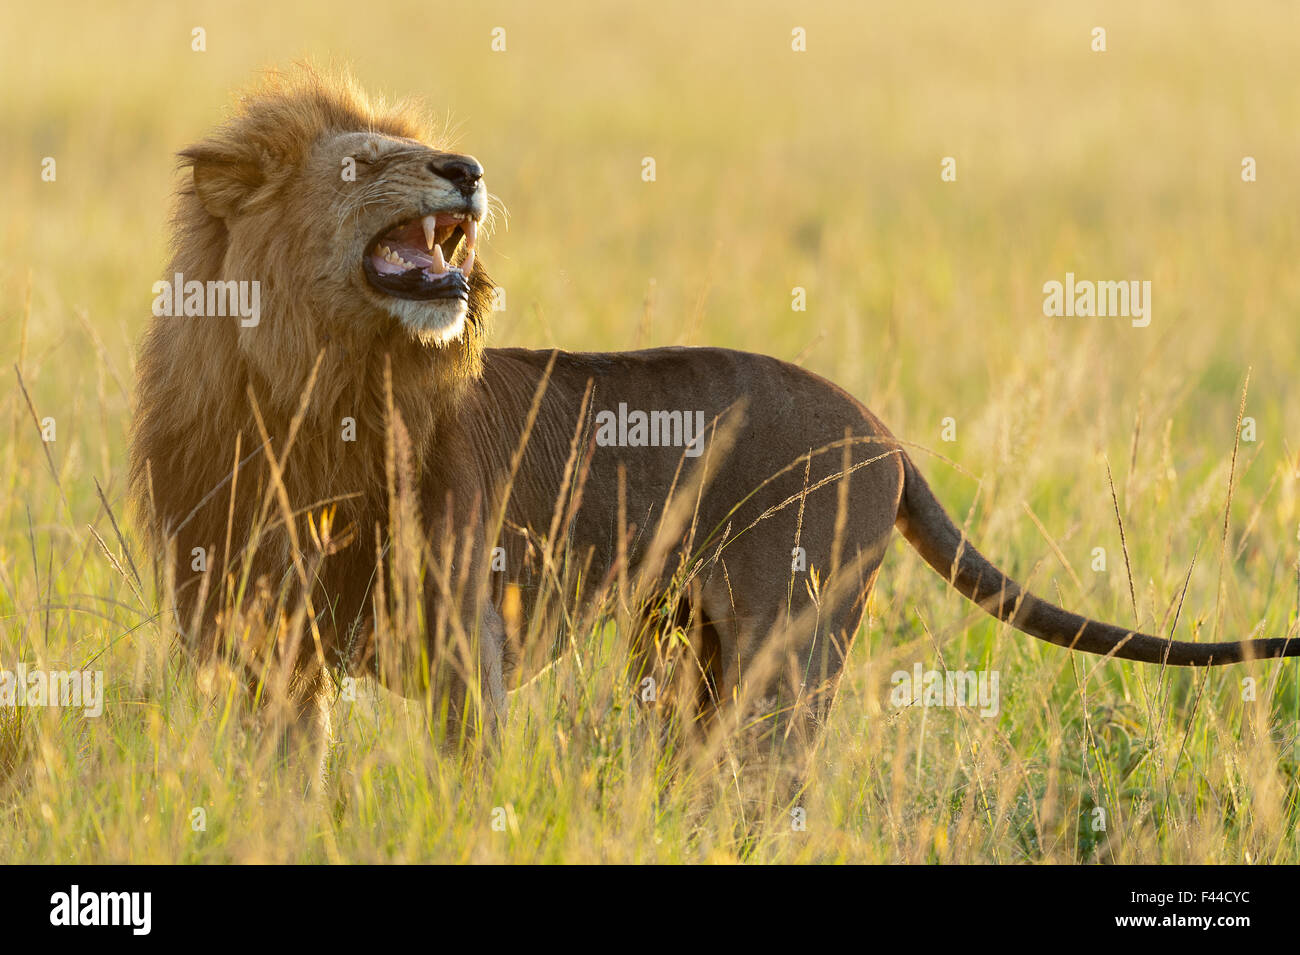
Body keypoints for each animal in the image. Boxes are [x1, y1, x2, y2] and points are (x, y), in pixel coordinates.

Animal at [129, 68, 1298, 790]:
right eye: (366, 162)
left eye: (424, 150)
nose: (464, 169)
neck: (316, 388)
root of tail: (884, 429)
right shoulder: (256, 637)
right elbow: (283, 778)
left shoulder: (468, 636)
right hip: (686, 647)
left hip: (790, 641)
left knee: (774, 775)